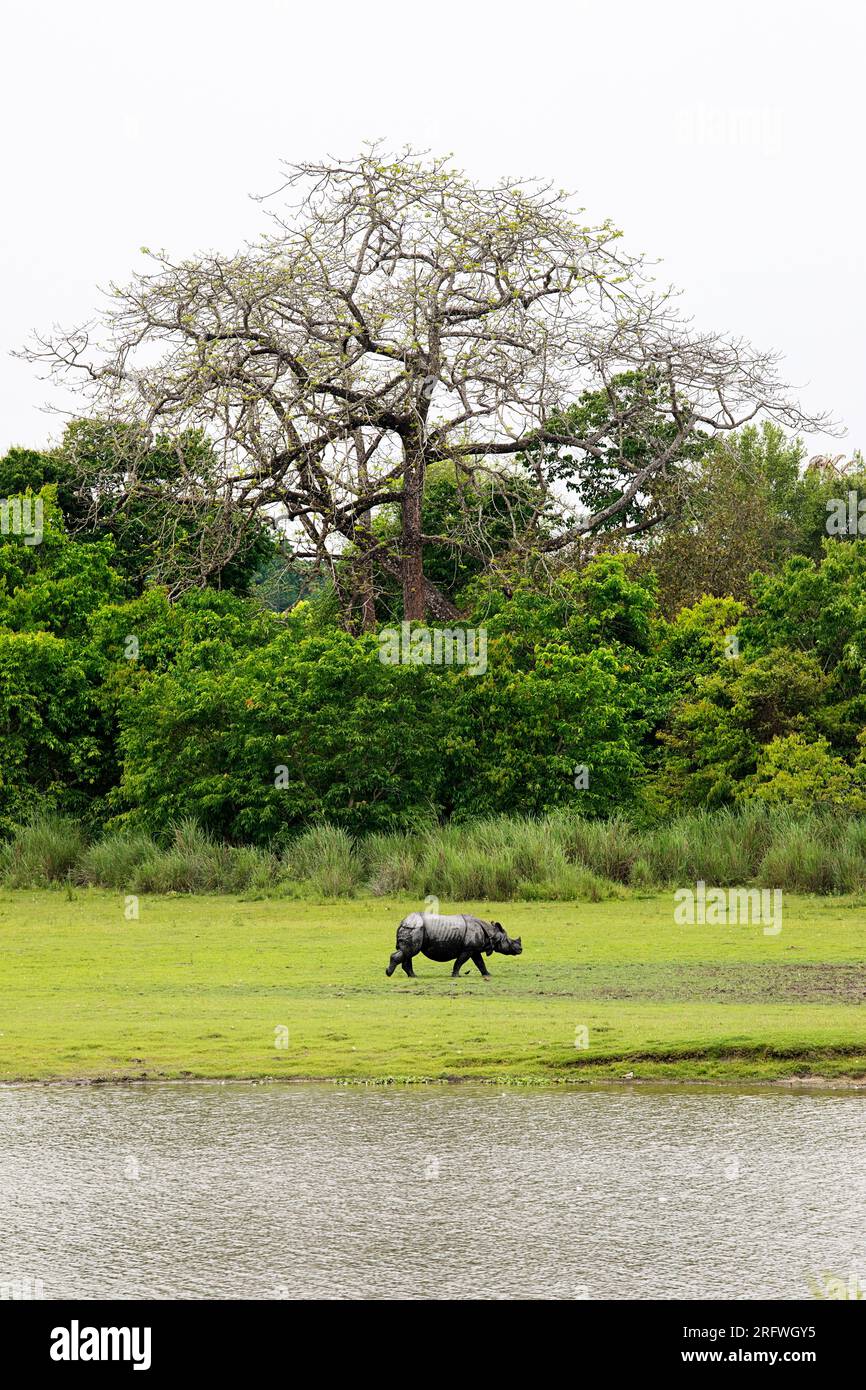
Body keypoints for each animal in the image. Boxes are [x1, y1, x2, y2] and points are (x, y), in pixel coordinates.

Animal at [385, 912, 523, 980]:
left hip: (413, 929)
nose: (520, 949)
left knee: (408, 952)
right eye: (509, 941)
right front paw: (456, 976)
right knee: (410, 952)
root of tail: (402, 921)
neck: (492, 934)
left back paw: (413, 976)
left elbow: (480, 962)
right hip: (415, 929)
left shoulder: (474, 949)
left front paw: (488, 975)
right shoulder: (468, 949)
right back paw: (389, 974)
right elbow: (460, 961)